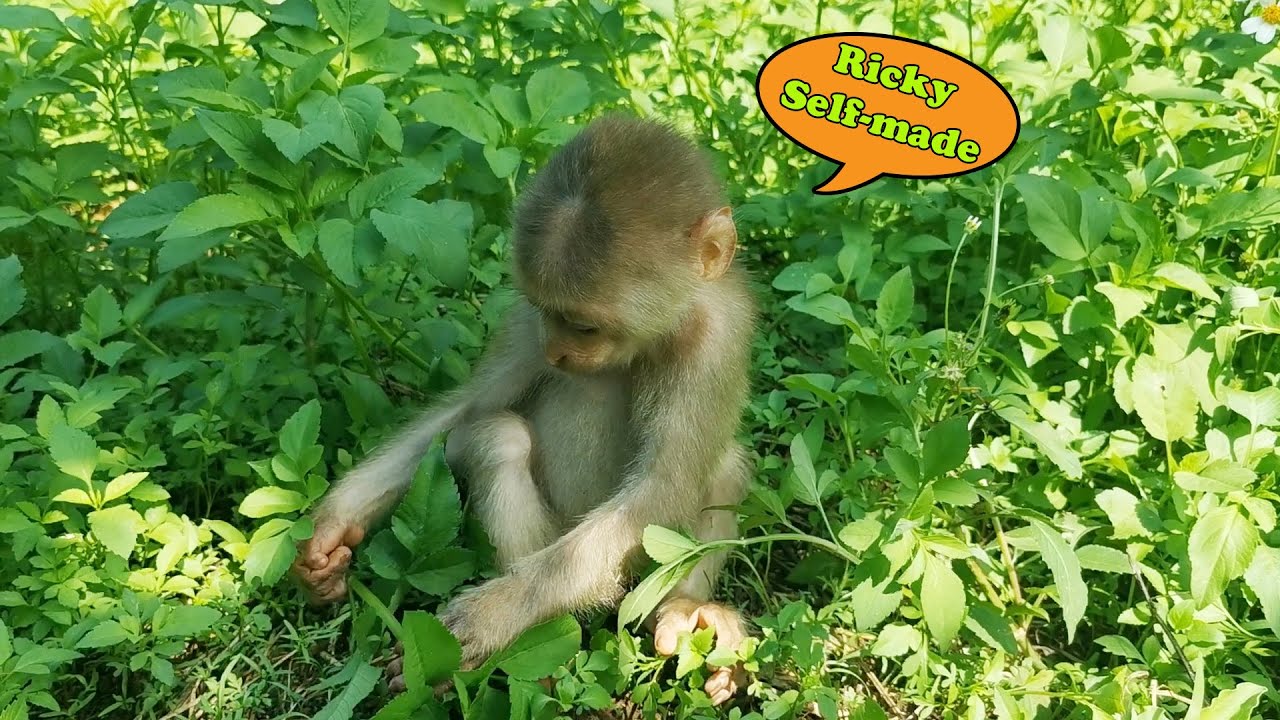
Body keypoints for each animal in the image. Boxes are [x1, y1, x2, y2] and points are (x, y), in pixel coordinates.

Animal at [292, 114, 756, 706]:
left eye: (585, 326)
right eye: (547, 311)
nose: (557, 351)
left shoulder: (713, 342)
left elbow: (659, 493)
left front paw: (490, 619)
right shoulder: (525, 325)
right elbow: (468, 409)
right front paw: (332, 527)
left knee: (724, 467)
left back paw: (686, 615)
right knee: (499, 437)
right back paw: (537, 666)